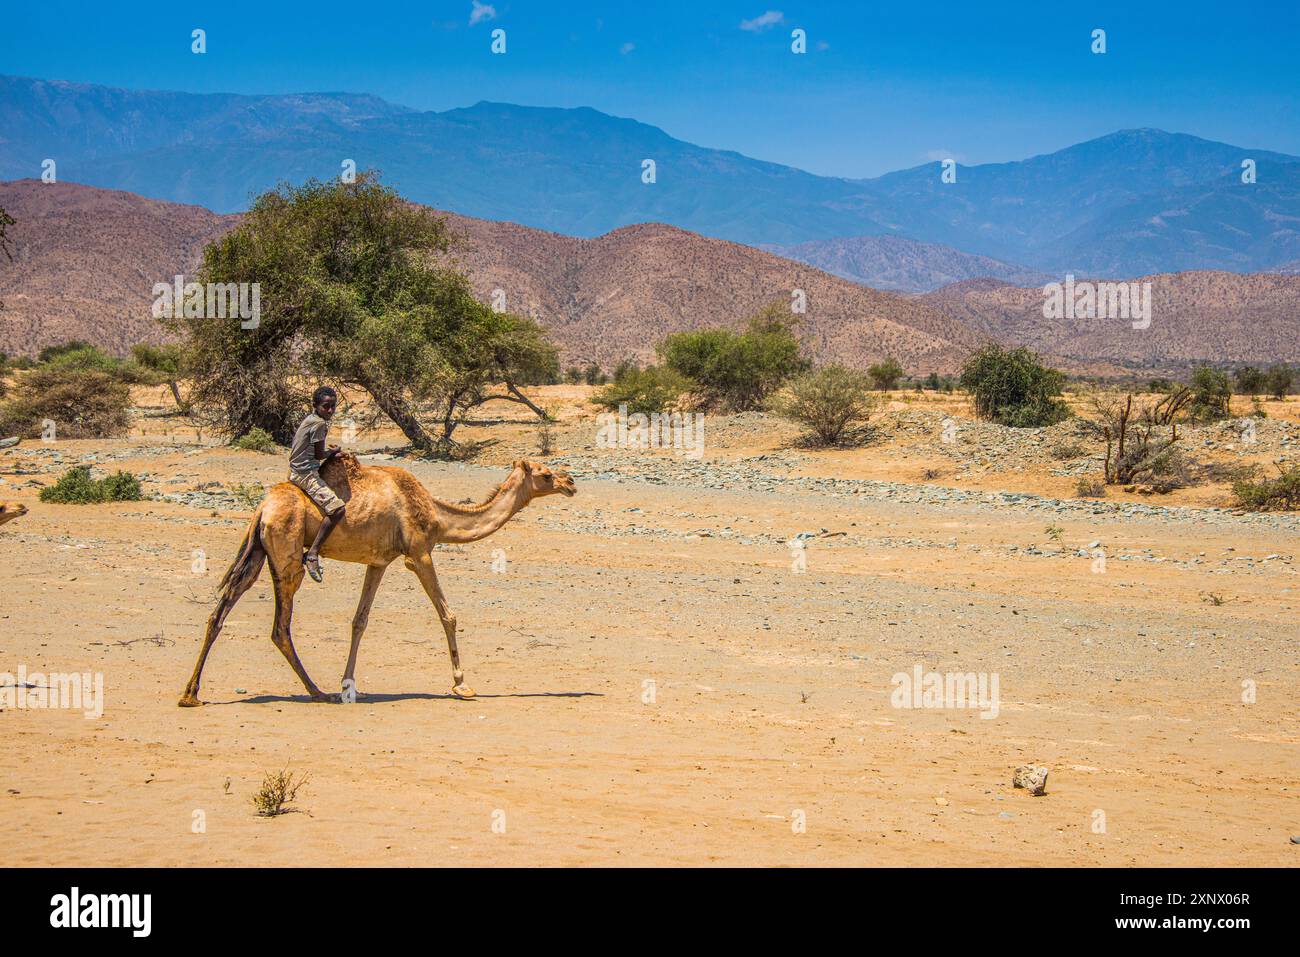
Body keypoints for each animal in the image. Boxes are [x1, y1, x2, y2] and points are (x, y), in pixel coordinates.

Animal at [178, 453, 576, 707]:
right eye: (544, 473)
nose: (571, 481)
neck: (436, 515)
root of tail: (262, 507)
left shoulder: (379, 561)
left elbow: (360, 620)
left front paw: (348, 685)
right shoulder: (418, 554)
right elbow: (447, 615)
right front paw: (462, 685)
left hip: (258, 553)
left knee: (220, 612)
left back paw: (190, 695)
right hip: (287, 556)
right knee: (280, 627)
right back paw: (316, 692)